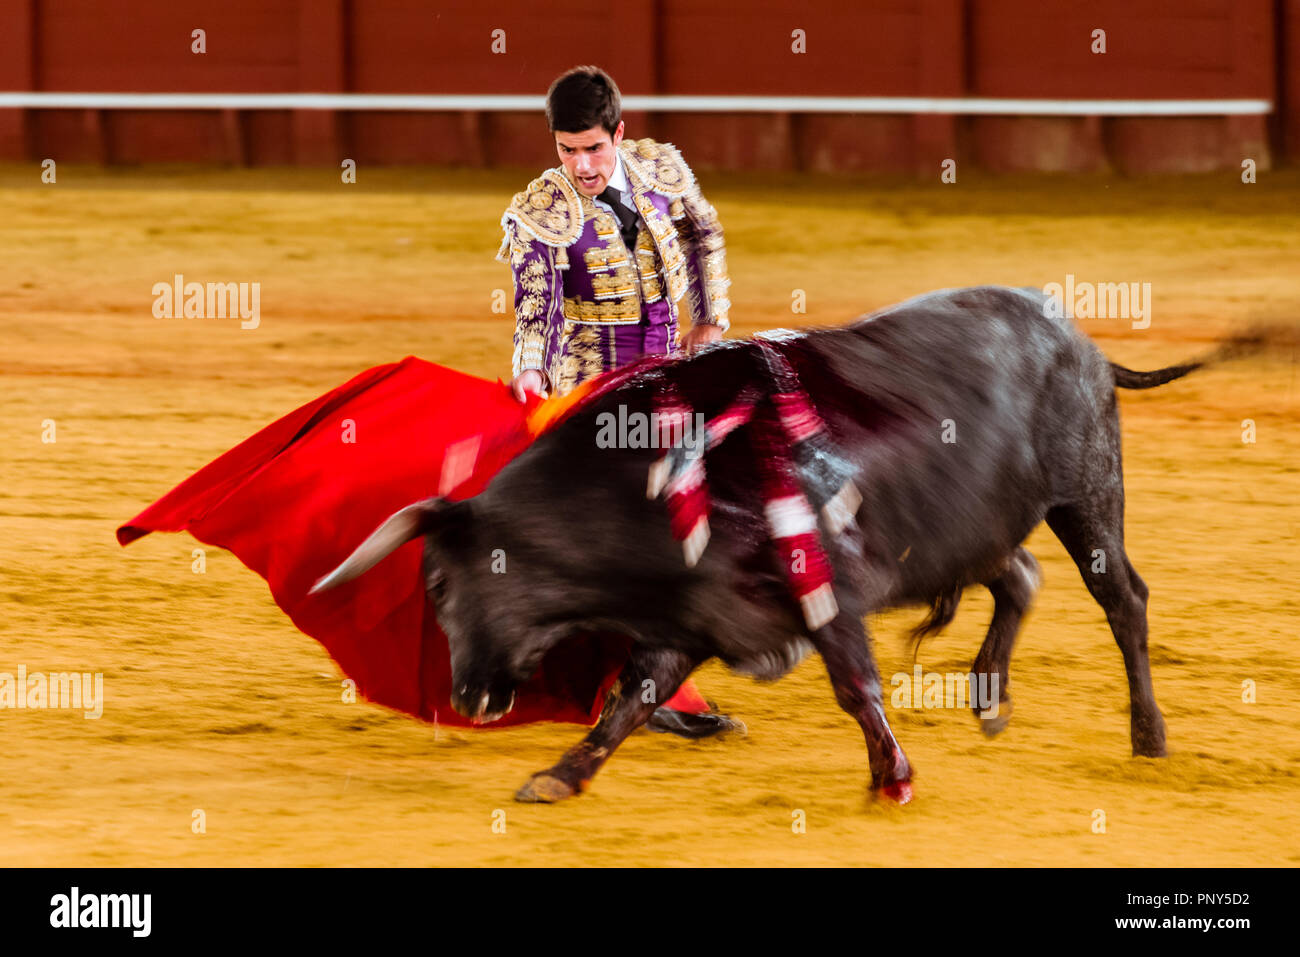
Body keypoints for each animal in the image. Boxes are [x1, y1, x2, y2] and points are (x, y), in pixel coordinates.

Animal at [312, 285, 1264, 805]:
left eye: (439, 584)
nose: (468, 698)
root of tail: (1083, 341)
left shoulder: (825, 587)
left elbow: (853, 683)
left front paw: (892, 778)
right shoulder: (693, 614)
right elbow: (628, 698)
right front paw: (560, 775)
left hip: (1086, 494)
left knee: (1122, 598)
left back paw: (1148, 735)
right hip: (974, 520)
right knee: (1019, 575)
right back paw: (990, 694)